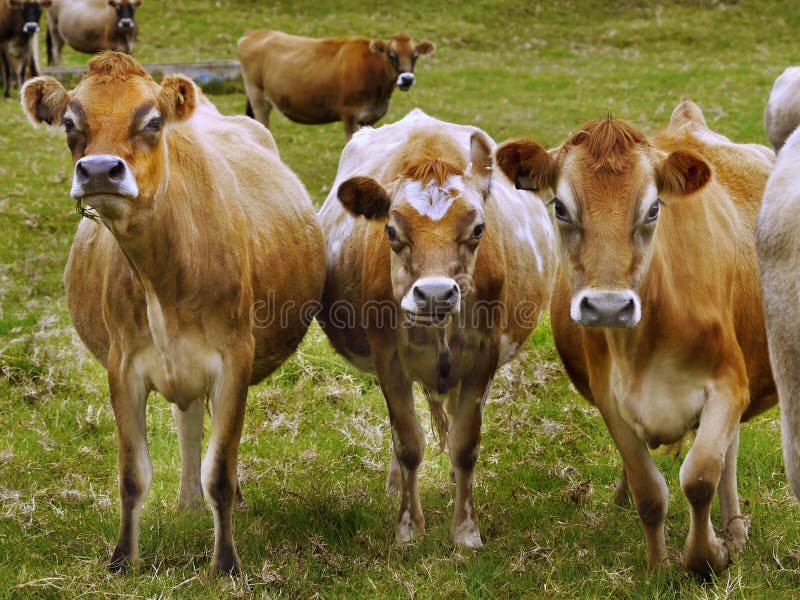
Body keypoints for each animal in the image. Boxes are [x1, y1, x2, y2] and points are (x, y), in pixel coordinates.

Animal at [20, 51, 326, 574]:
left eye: (153, 121)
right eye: (70, 122)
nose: (98, 170)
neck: (163, 276)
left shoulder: (235, 360)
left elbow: (220, 468)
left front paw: (225, 563)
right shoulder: (123, 366)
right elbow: (132, 473)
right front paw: (123, 559)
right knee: (189, 421)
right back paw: (187, 503)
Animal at [238, 30, 435, 140]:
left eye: (415, 55)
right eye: (391, 55)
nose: (407, 79)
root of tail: (254, 33)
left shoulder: (370, 118)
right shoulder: (349, 113)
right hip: (257, 96)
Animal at [317, 109, 555, 548]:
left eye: (478, 228)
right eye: (392, 231)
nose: (434, 294)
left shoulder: (484, 357)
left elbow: (466, 444)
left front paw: (466, 530)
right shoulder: (388, 359)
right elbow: (408, 442)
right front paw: (409, 527)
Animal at [495, 99, 776, 576]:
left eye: (653, 208)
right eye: (560, 207)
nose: (608, 307)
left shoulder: (729, 383)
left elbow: (701, 476)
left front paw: (709, 556)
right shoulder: (609, 398)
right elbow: (650, 489)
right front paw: (658, 565)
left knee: (727, 455)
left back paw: (735, 531)